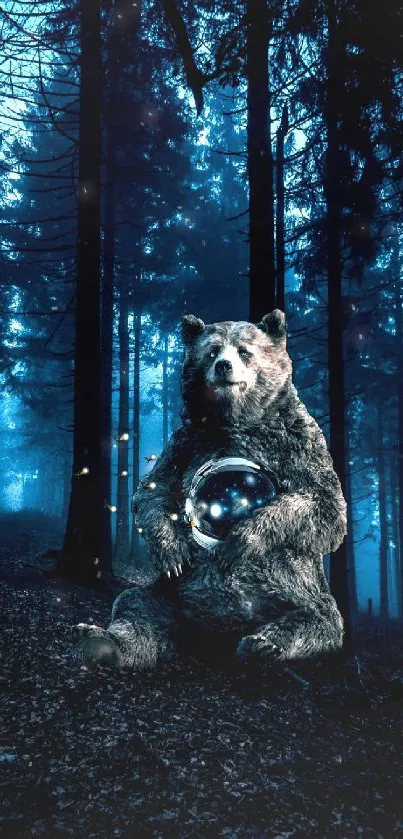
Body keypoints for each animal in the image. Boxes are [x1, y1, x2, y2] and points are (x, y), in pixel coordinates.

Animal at [74, 309, 347, 670]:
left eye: (244, 350)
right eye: (212, 350)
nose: (224, 367)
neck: (234, 421)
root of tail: (213, 639)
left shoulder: (297, 441)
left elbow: (325, 507)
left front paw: (243, 538)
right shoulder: (187, 443)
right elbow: (153, 491)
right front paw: (173, 552)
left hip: (297, 588)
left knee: (317, 618)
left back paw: (264, 645)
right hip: (170, 593)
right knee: (135, 606)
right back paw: (102, 641)